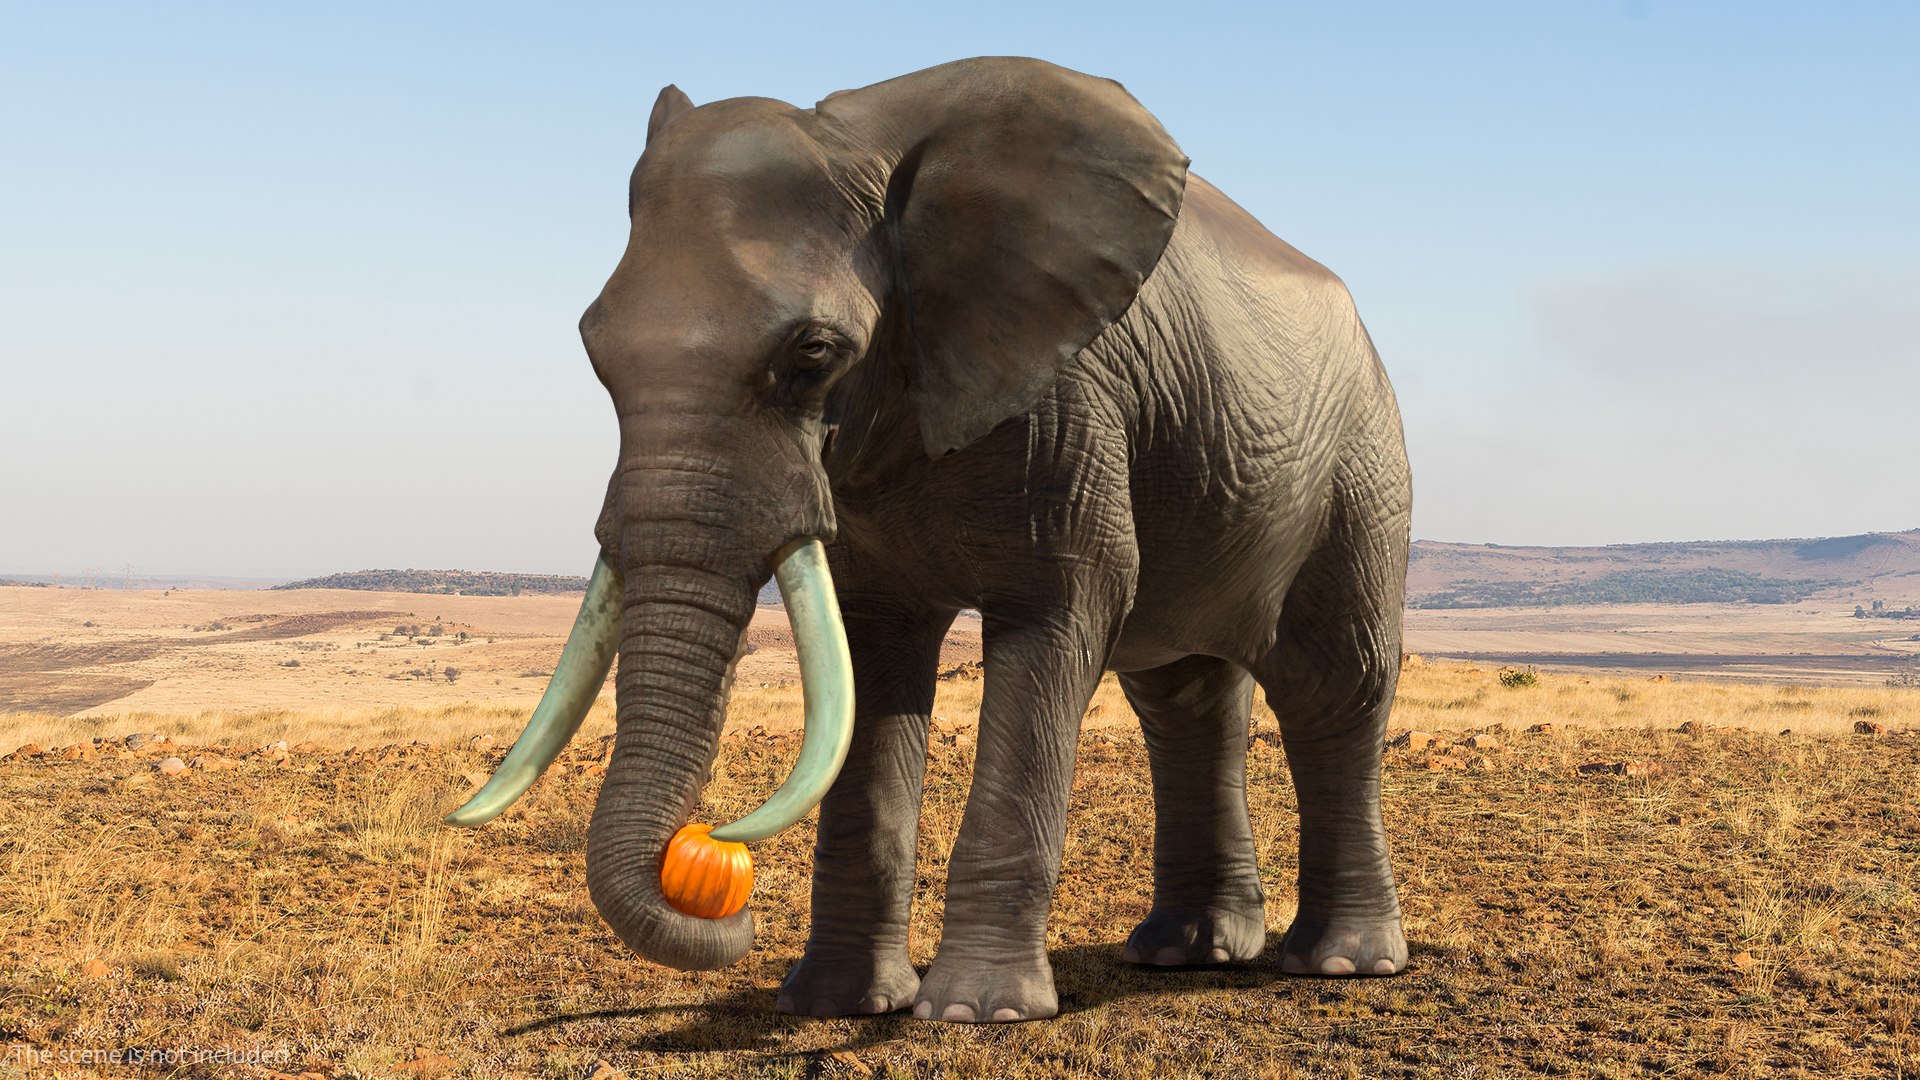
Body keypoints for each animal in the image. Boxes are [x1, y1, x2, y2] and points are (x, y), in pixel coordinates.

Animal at [451, 56, 1413, 1024]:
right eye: (594, 350)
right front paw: (837, 1005)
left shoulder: (1071, 405)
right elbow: (871, 660)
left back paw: (1342, 963)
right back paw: (1185, 953)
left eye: (813, 351)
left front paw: (978, 1014)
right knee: (1183, 697)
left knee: (1334, 685)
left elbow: (1061, 616)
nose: (714, 865)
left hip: (1362, 461)